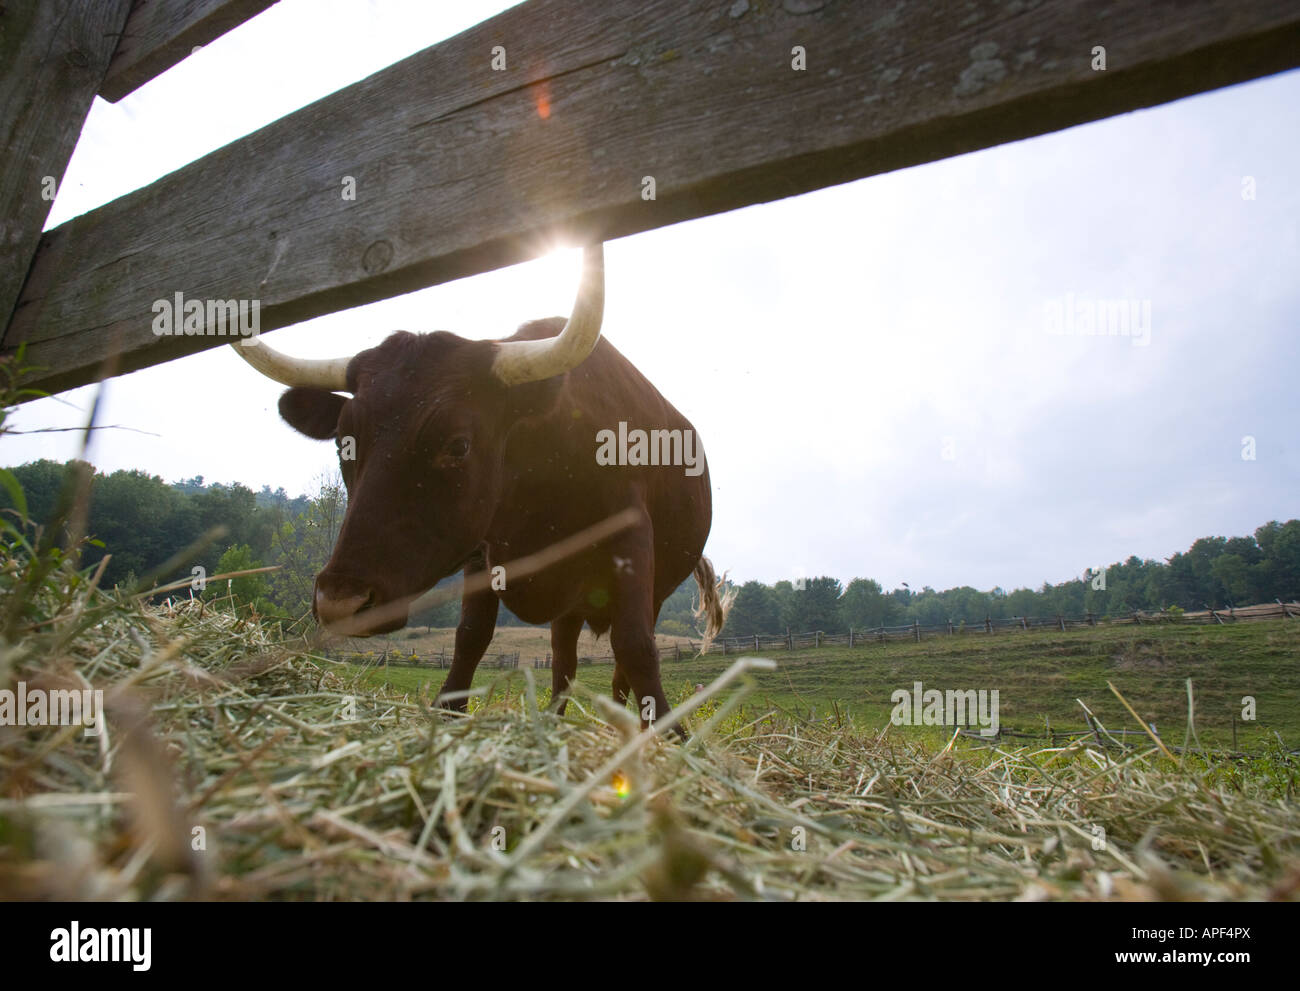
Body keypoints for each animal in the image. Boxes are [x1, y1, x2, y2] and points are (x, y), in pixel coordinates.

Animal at [231, 243, 731, 730]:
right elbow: (471, 637)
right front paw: (448, 709)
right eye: (342, 442)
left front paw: (669, 735)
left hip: (653, 588)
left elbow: (637, 647)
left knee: (618, 666)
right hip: (569, 603)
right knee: (563, 659)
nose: (339, 601)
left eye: (458, 444)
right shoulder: (481, 554)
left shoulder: (632, 540)